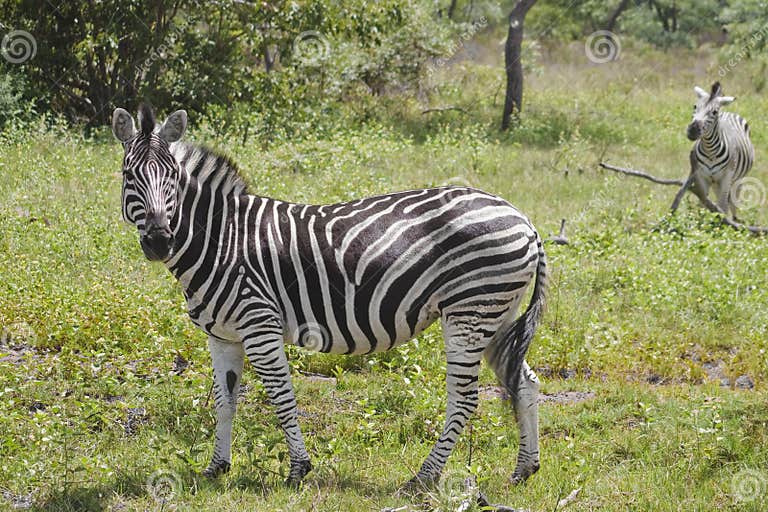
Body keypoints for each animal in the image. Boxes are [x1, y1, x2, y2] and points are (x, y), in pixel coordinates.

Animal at [111, 104, 547, 492]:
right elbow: (225, 400)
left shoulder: (259, 325)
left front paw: (297, 470)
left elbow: (281, 396)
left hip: (469, 310)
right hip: (495, 313)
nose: (158, 240)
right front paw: (216, 468)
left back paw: (423, 478)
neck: (223, 239)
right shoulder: (222, 336)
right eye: (129, 175)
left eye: (172, 176)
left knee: (464, 398)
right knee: (525, 381)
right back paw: (523, 471)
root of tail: (523, 219)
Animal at [685, 81, 754, 219]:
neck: (710, 151)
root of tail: (728, 112)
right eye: (695, 106)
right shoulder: (702, 177)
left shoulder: (727, 178)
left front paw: (722, 223)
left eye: (714, 112)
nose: (693, 130)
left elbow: (723, 206)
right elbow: (703, 204)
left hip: (737, 180)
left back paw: (735, 220)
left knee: (732, 201)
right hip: (716, 182)